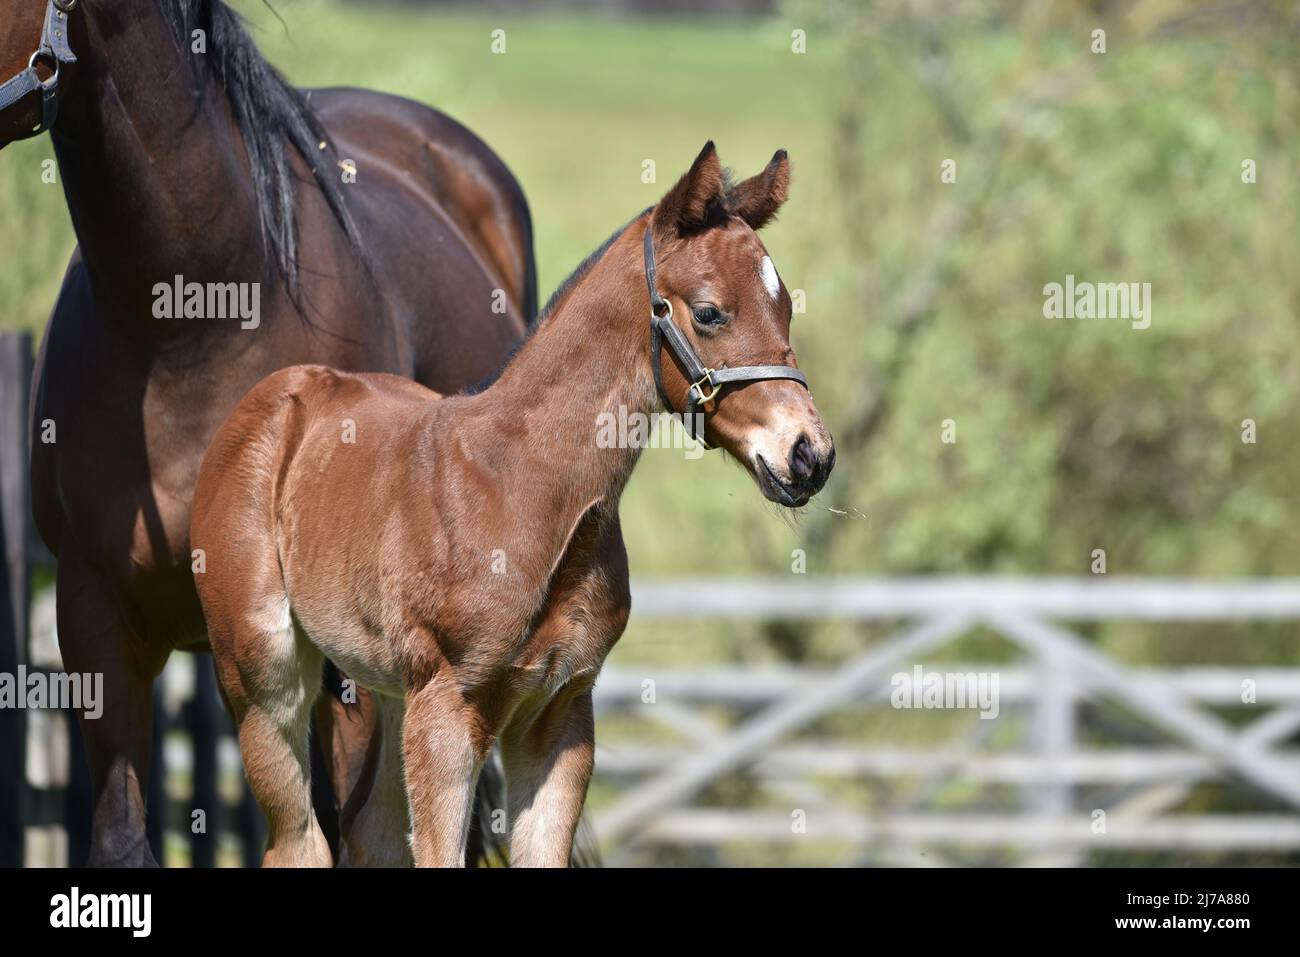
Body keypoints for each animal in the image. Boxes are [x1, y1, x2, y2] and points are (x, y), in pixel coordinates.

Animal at [190, 141, 835, 866]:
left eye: (785, 309)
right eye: (709, 312)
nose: (809, 455)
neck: (525, 488)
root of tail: (276, 391)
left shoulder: (560, 709)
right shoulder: (449, 708)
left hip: (390, 690)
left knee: (370, 831)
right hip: (262, 677)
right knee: (297, 839)